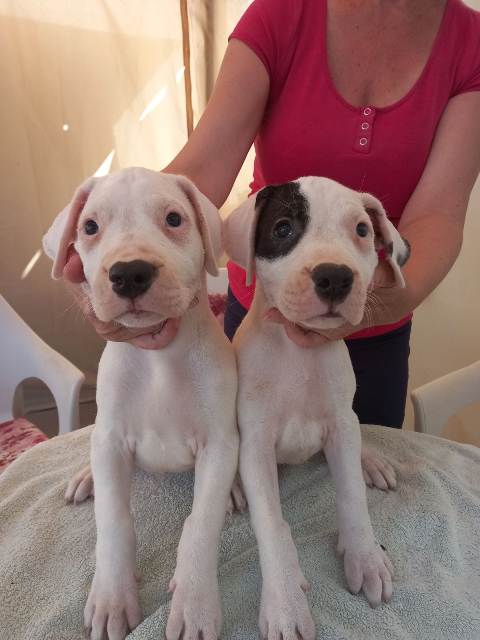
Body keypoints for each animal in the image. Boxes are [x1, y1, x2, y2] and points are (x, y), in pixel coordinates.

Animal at [44, 169, 239, 640]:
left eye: (174, 219)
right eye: (90, 227)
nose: (129, 273)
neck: (160, 357)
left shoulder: (219, 443)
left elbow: (200, 523)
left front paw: (195, 603)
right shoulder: (113, 439)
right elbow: (114, 522)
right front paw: (112, 597)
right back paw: (86, 478)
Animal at [223, 175, 410, 640]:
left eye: (362, 231)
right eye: (283, 228)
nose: (334, 277)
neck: (299, 353)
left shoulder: (340, 427)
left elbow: (352, 496)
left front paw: (365, 556)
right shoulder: (256, 445)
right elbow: (271, 523)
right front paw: (285, 601)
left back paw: (370, 460)